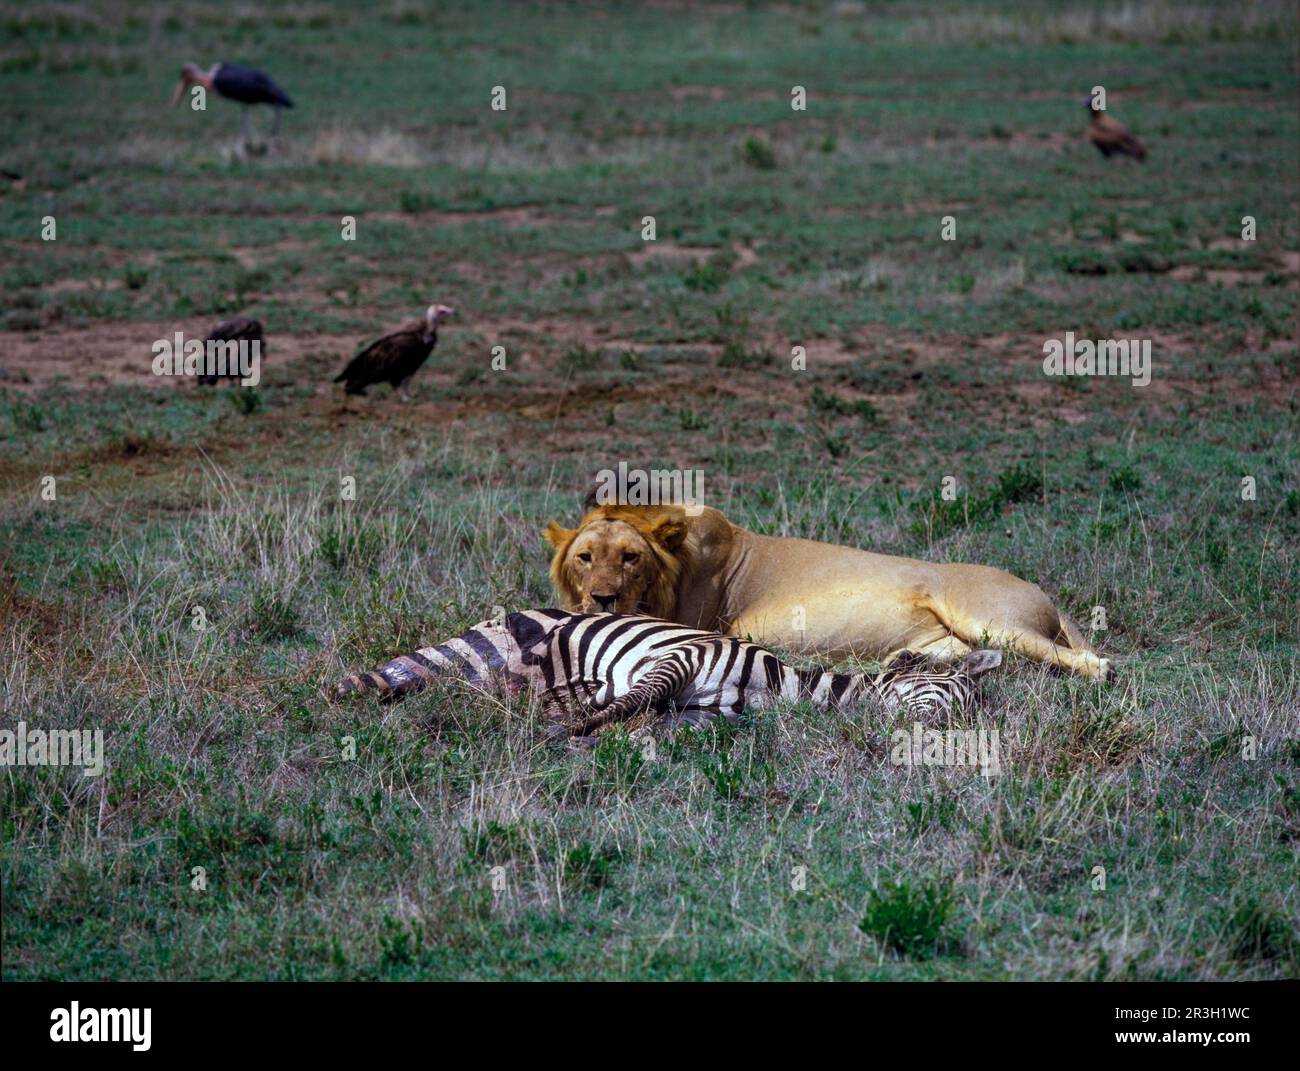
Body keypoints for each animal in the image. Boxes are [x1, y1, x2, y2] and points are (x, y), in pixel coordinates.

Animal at [543, 503, 1113, 681]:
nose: (603, 599)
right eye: (584, 558)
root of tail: (1047, 594)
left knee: (1094, 663)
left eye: (631, 558)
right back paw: (902, 662)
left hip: (989, 617)